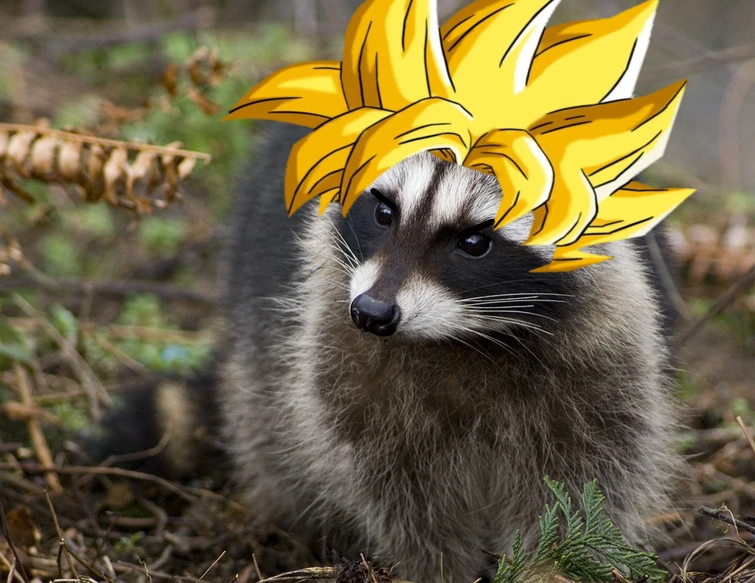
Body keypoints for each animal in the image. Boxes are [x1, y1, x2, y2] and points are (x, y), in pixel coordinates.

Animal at [96, 121, 681, 583]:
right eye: (382, 211)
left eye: (475, 242)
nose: (372, 313)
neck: (465, 337)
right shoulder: (342, 355)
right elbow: (397, 486)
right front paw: (439, 568)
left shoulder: (599, 358)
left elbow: (586, 478)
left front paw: (551, 566)